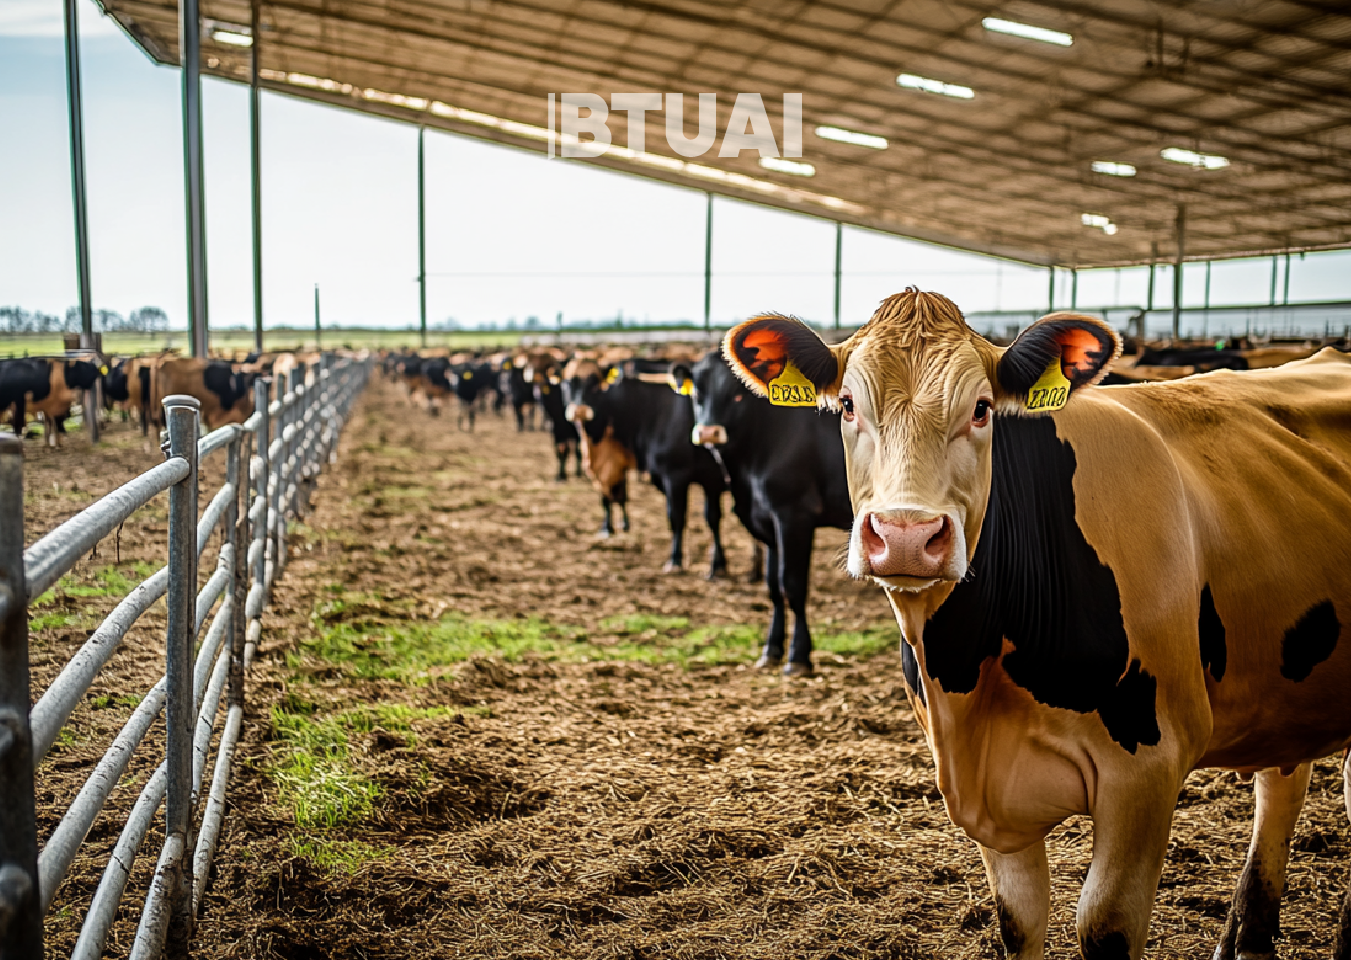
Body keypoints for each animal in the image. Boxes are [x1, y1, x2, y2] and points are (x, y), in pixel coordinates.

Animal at [676, 350, 851, 671]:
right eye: (696, 393)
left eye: (737, 395)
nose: (708, 432)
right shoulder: (767, 524)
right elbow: (773, 587)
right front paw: (771, 650)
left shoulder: (793, 516)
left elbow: (792, 585)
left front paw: (798, 657)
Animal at [720, 288, 1351, 959]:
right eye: (846, 406)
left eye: (981, 410)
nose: (907, 536)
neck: (971, 674)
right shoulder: (993, 804)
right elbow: (1018, 923)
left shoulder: (1148, 773)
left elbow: (1103, 925)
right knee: (1281, 783)